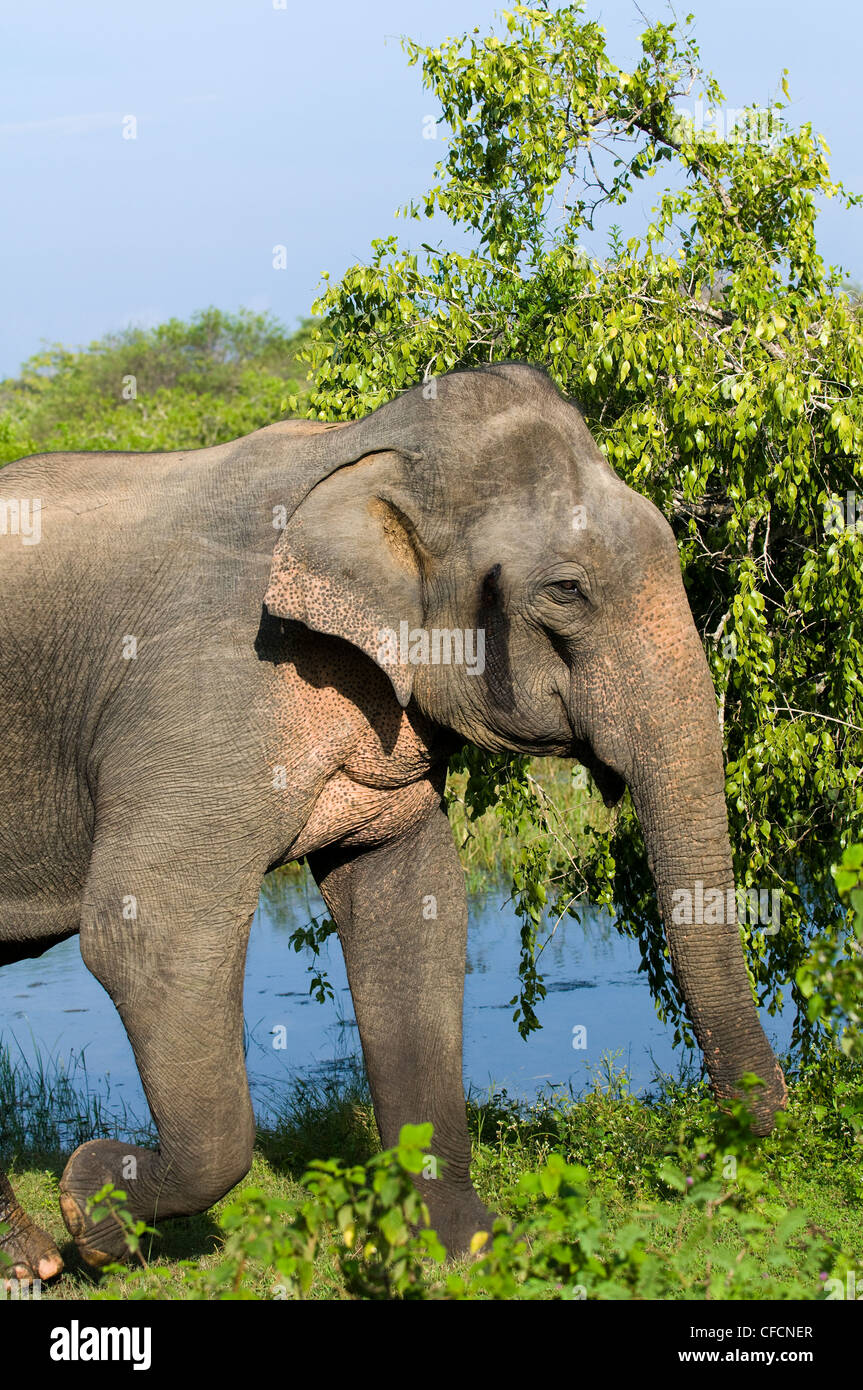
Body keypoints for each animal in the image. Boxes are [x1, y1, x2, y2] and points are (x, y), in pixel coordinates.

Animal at [0, 361, 786, 1281]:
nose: (724, 1140)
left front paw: (464, 1250)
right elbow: (147, 925)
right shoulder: (203, 687)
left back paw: (27, 1261)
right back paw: (39, 1261)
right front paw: (93, 1203)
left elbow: (413, 905)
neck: (359, 453)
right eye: (566, 591)